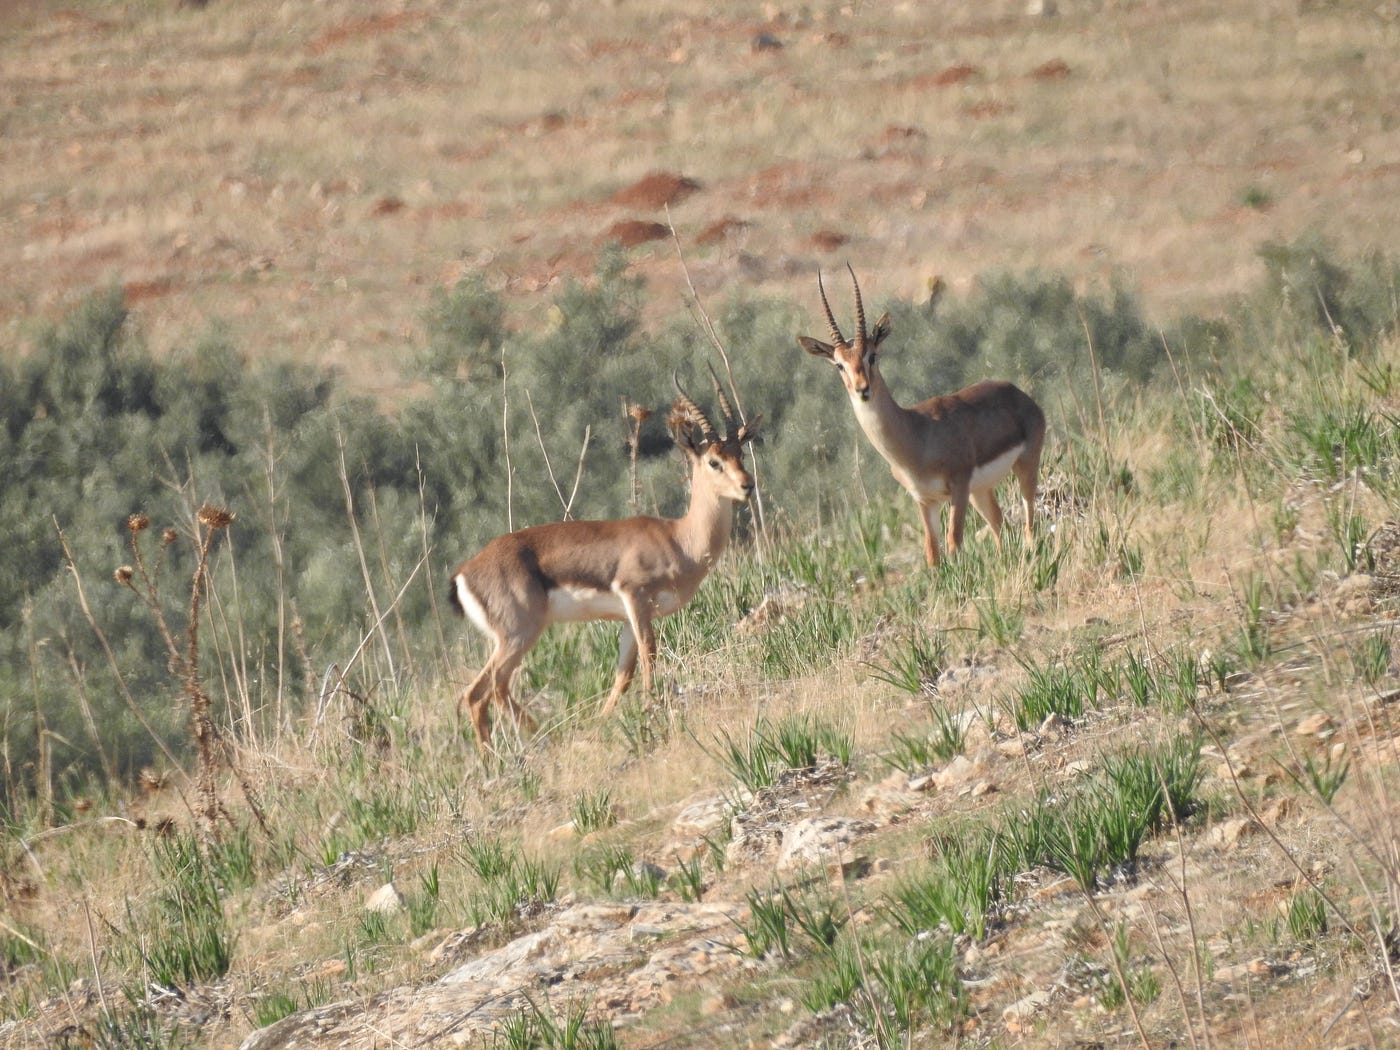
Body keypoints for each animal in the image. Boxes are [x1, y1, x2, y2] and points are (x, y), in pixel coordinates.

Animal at [448, 378, 759, 749]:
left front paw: (604, 722)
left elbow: (623, 674)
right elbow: (649, 656)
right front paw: (649, 713)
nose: (748, 485)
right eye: (714, 461)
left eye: (740, 454)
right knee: (485, 689)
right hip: (518, 634)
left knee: (483, 693)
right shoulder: (636, 597)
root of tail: (464, 573)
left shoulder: (627, 617)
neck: (679, 539)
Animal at [799, 267, 1046, 568]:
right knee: (1000, 525)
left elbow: (953, 541)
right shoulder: (925, 500)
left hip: (1024, 468)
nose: (862, 389)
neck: (916, 436)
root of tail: (1021, 395)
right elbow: (932, 552)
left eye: (872, 355)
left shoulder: (959, 486)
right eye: (839, 365)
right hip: (980, 491)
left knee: (1029, 520)